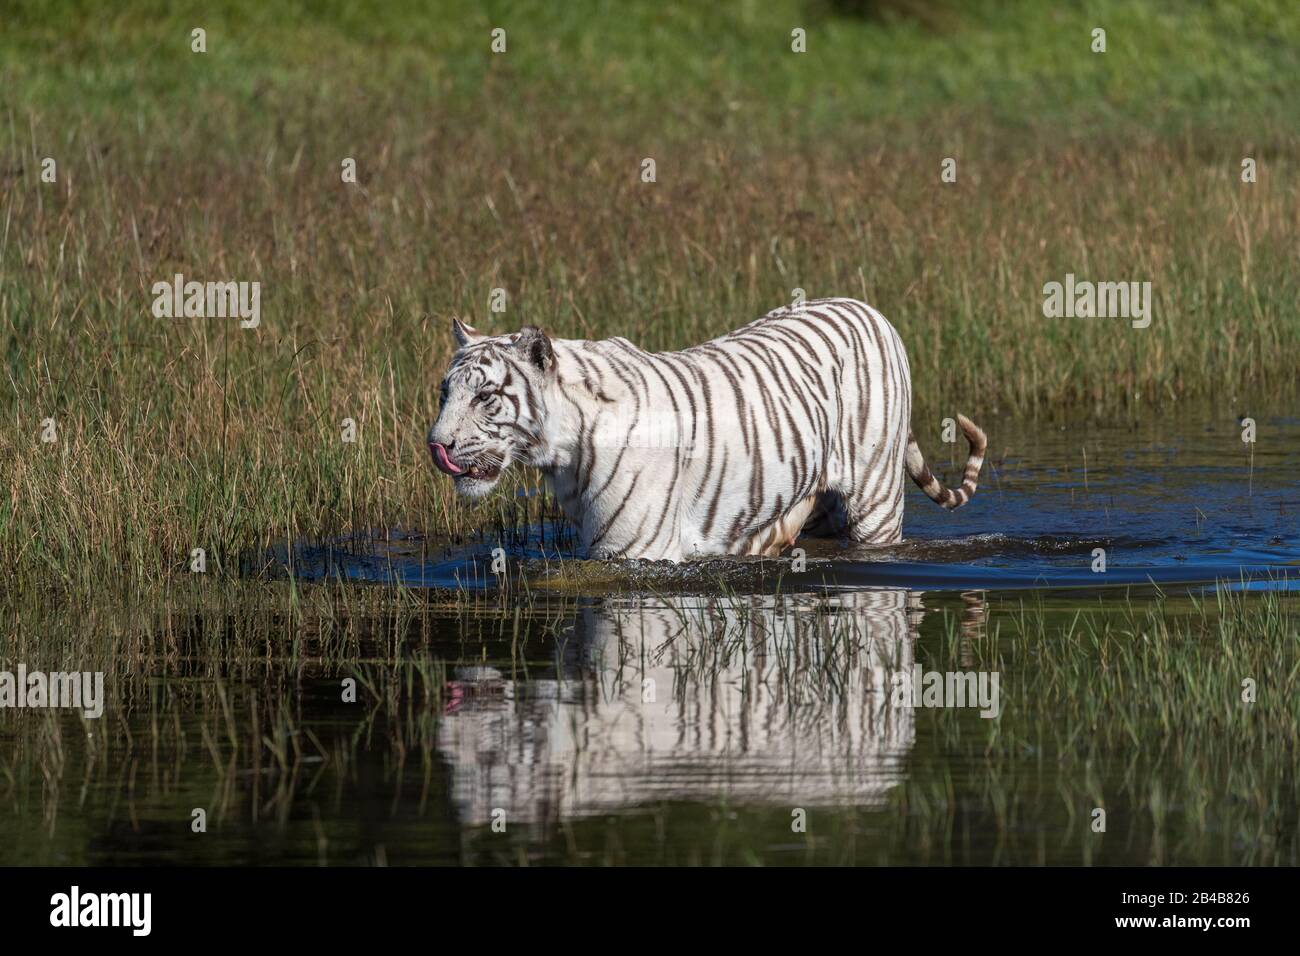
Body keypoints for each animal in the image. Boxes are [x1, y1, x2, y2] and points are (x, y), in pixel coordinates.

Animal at [426, 297, 986, 561]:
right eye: (445, 393)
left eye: (486, 397)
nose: (437, 446)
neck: (563, 454)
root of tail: (870, 308)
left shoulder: (634, 554)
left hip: (876, 501)